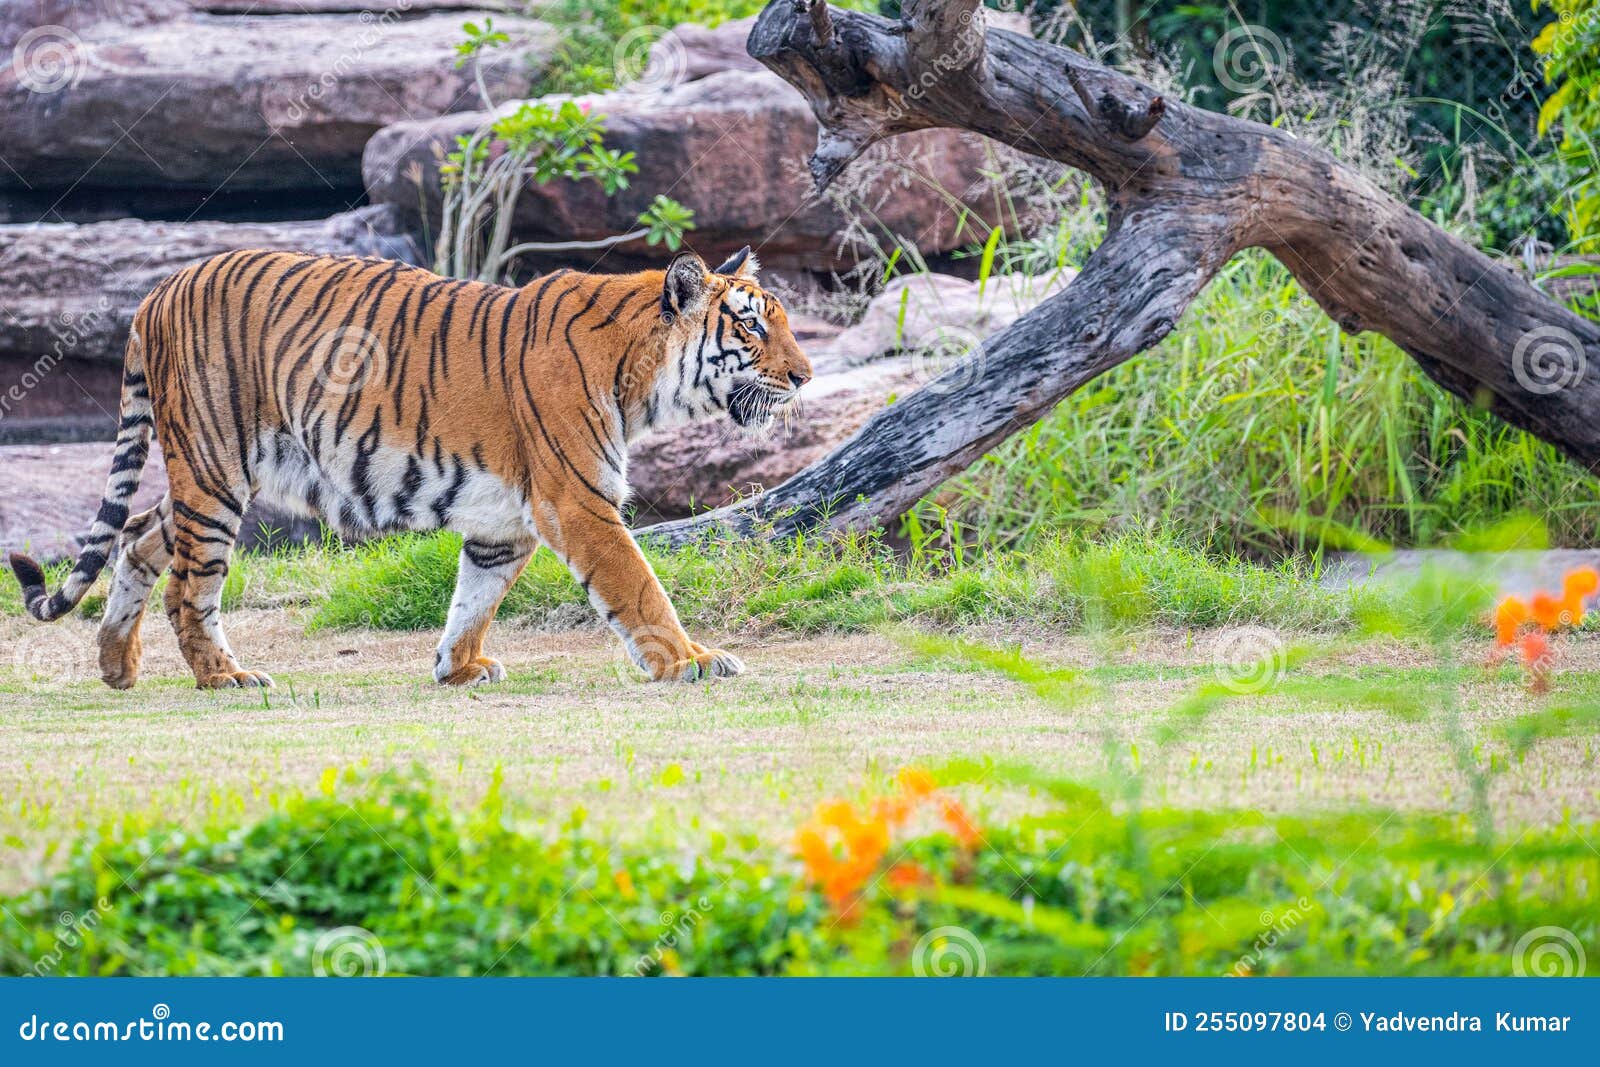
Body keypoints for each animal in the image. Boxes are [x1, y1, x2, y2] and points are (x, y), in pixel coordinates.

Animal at [9, 246, 812, 690]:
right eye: (751, 327)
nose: (805, 377)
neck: (640, 379)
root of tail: (157, 291)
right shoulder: (578, 502)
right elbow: (641, 589)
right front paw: (691, 660)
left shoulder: (504, 523)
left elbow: (474, 599)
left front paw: (457, 668)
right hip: (214, 471)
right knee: (188, 587)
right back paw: (223, 675)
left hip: (211, 478)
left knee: (139, 533)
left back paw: (116, 663)